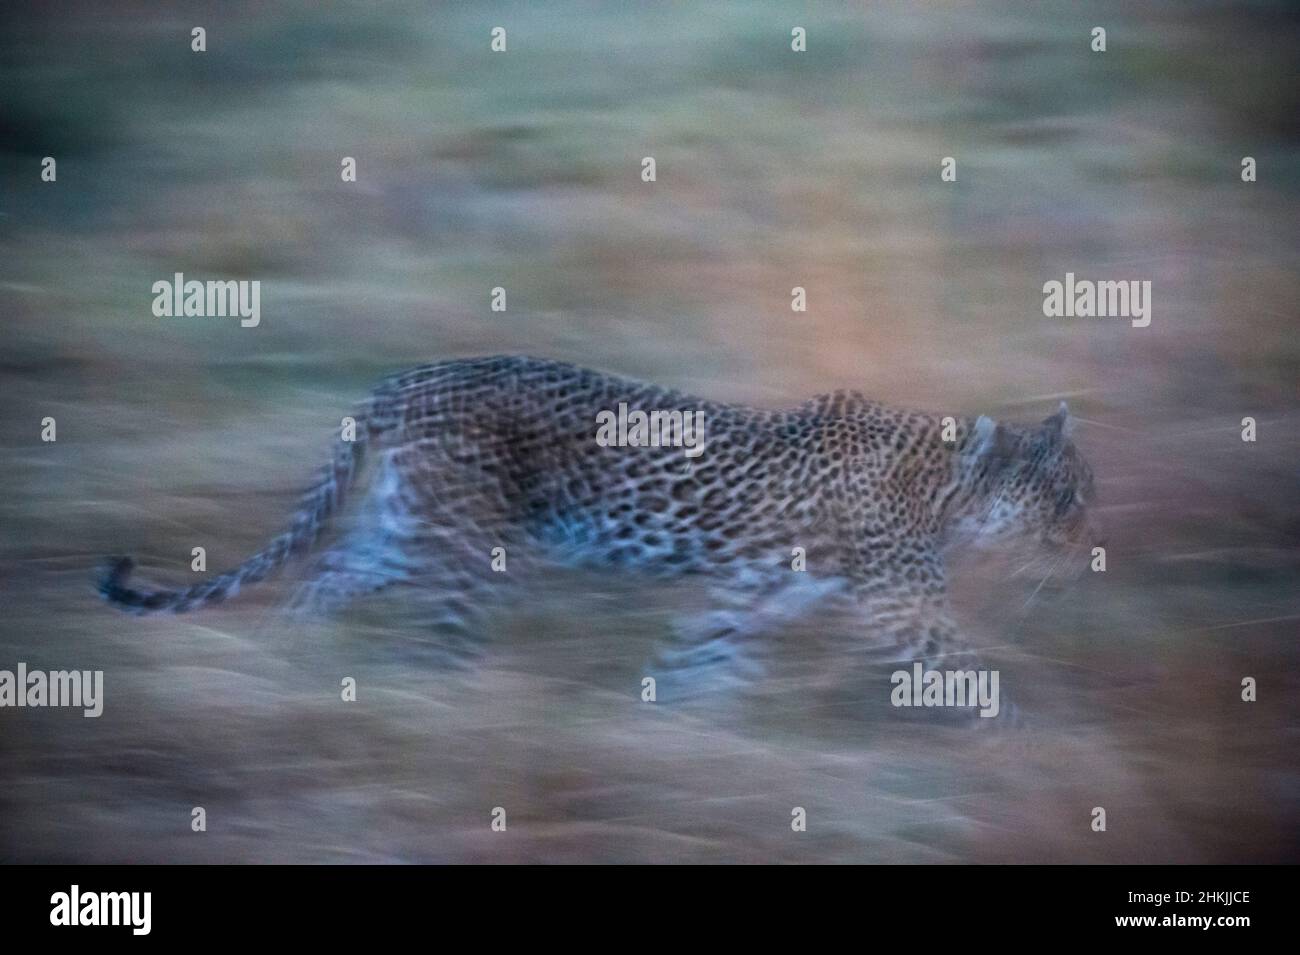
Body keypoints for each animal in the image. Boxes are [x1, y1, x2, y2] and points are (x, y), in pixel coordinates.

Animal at [99, 355, 1097, 699]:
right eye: (1065, 495)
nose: (1087, 542)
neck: (949, 488)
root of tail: (405, 378)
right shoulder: (906, 611)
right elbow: (978, 683)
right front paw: (1040, 756)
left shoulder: (754, 592)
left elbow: (706, 660)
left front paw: (682, 739)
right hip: (464, 547)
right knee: (430, 638)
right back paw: (431, 717)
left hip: (407, 527)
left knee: (327, 571)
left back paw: (288, 663)